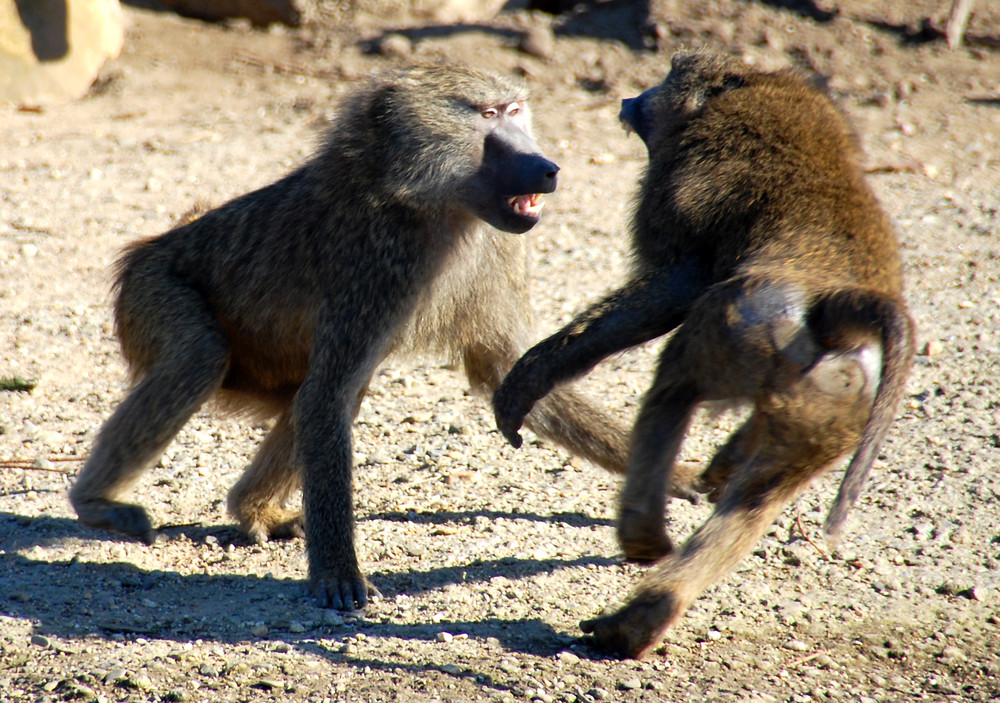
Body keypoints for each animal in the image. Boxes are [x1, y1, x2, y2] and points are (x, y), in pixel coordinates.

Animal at [69, 64, 681, 611]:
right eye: (486, 116)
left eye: (514, 111)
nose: (547, 167)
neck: (427, 201)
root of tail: (154, 245)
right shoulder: (377, 258)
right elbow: (328, 396)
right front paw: (339, 576)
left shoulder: (500, 245)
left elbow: (506, 372)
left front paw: (684, 478)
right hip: (150, 289)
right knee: (204, 358)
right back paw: (95, 501)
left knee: (317, 393)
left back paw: (253, 510)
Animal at [492, 51, 915, 658]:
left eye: (671, 73)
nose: (632, 98)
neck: (746, 91)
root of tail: (831, 306)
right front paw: (724, 465)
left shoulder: (679, 187)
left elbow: (675, 285)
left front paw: (528, 380)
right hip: (834, 403)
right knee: (758, 497)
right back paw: (644, 615)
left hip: (733, 325)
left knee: (673, 386)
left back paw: (643, 537)